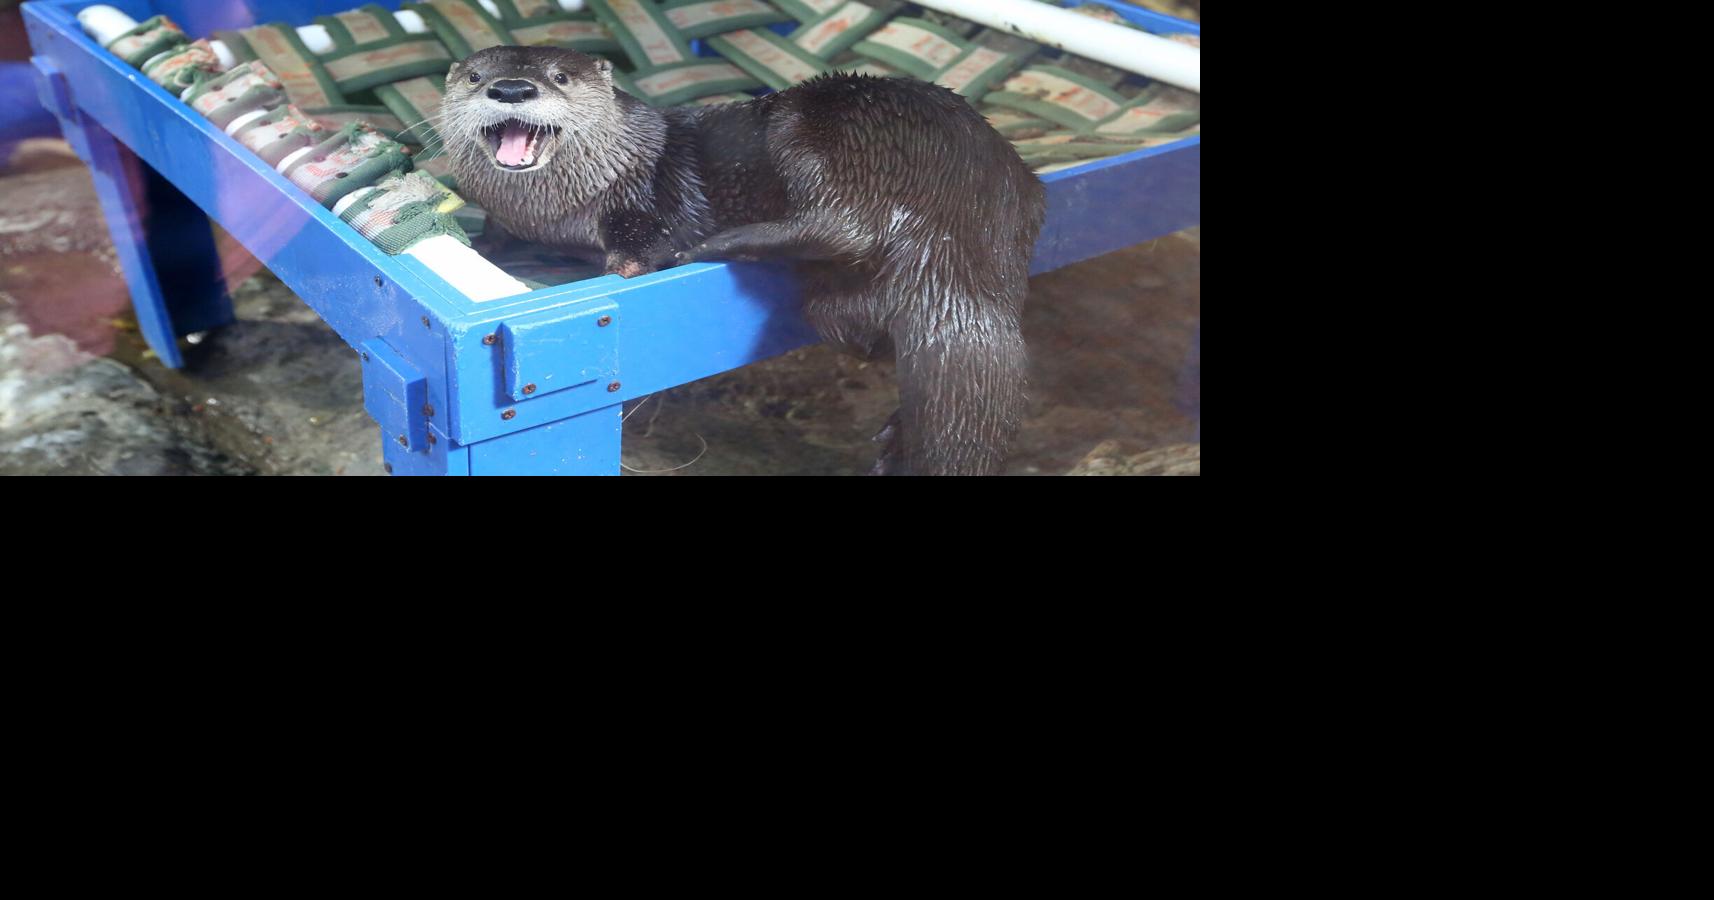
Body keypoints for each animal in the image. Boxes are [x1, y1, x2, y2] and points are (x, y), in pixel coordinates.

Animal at [443, 46, 1046, 476]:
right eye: (474, 76)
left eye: (560, 78)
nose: (511, 88)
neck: (557, 216)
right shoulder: (510, 218)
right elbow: (493, 236)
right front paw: (473, 248)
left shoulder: (642, 204)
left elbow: (638, 253)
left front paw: (624, 270)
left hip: (819, 125)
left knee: (845, 224)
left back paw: (716, 246)